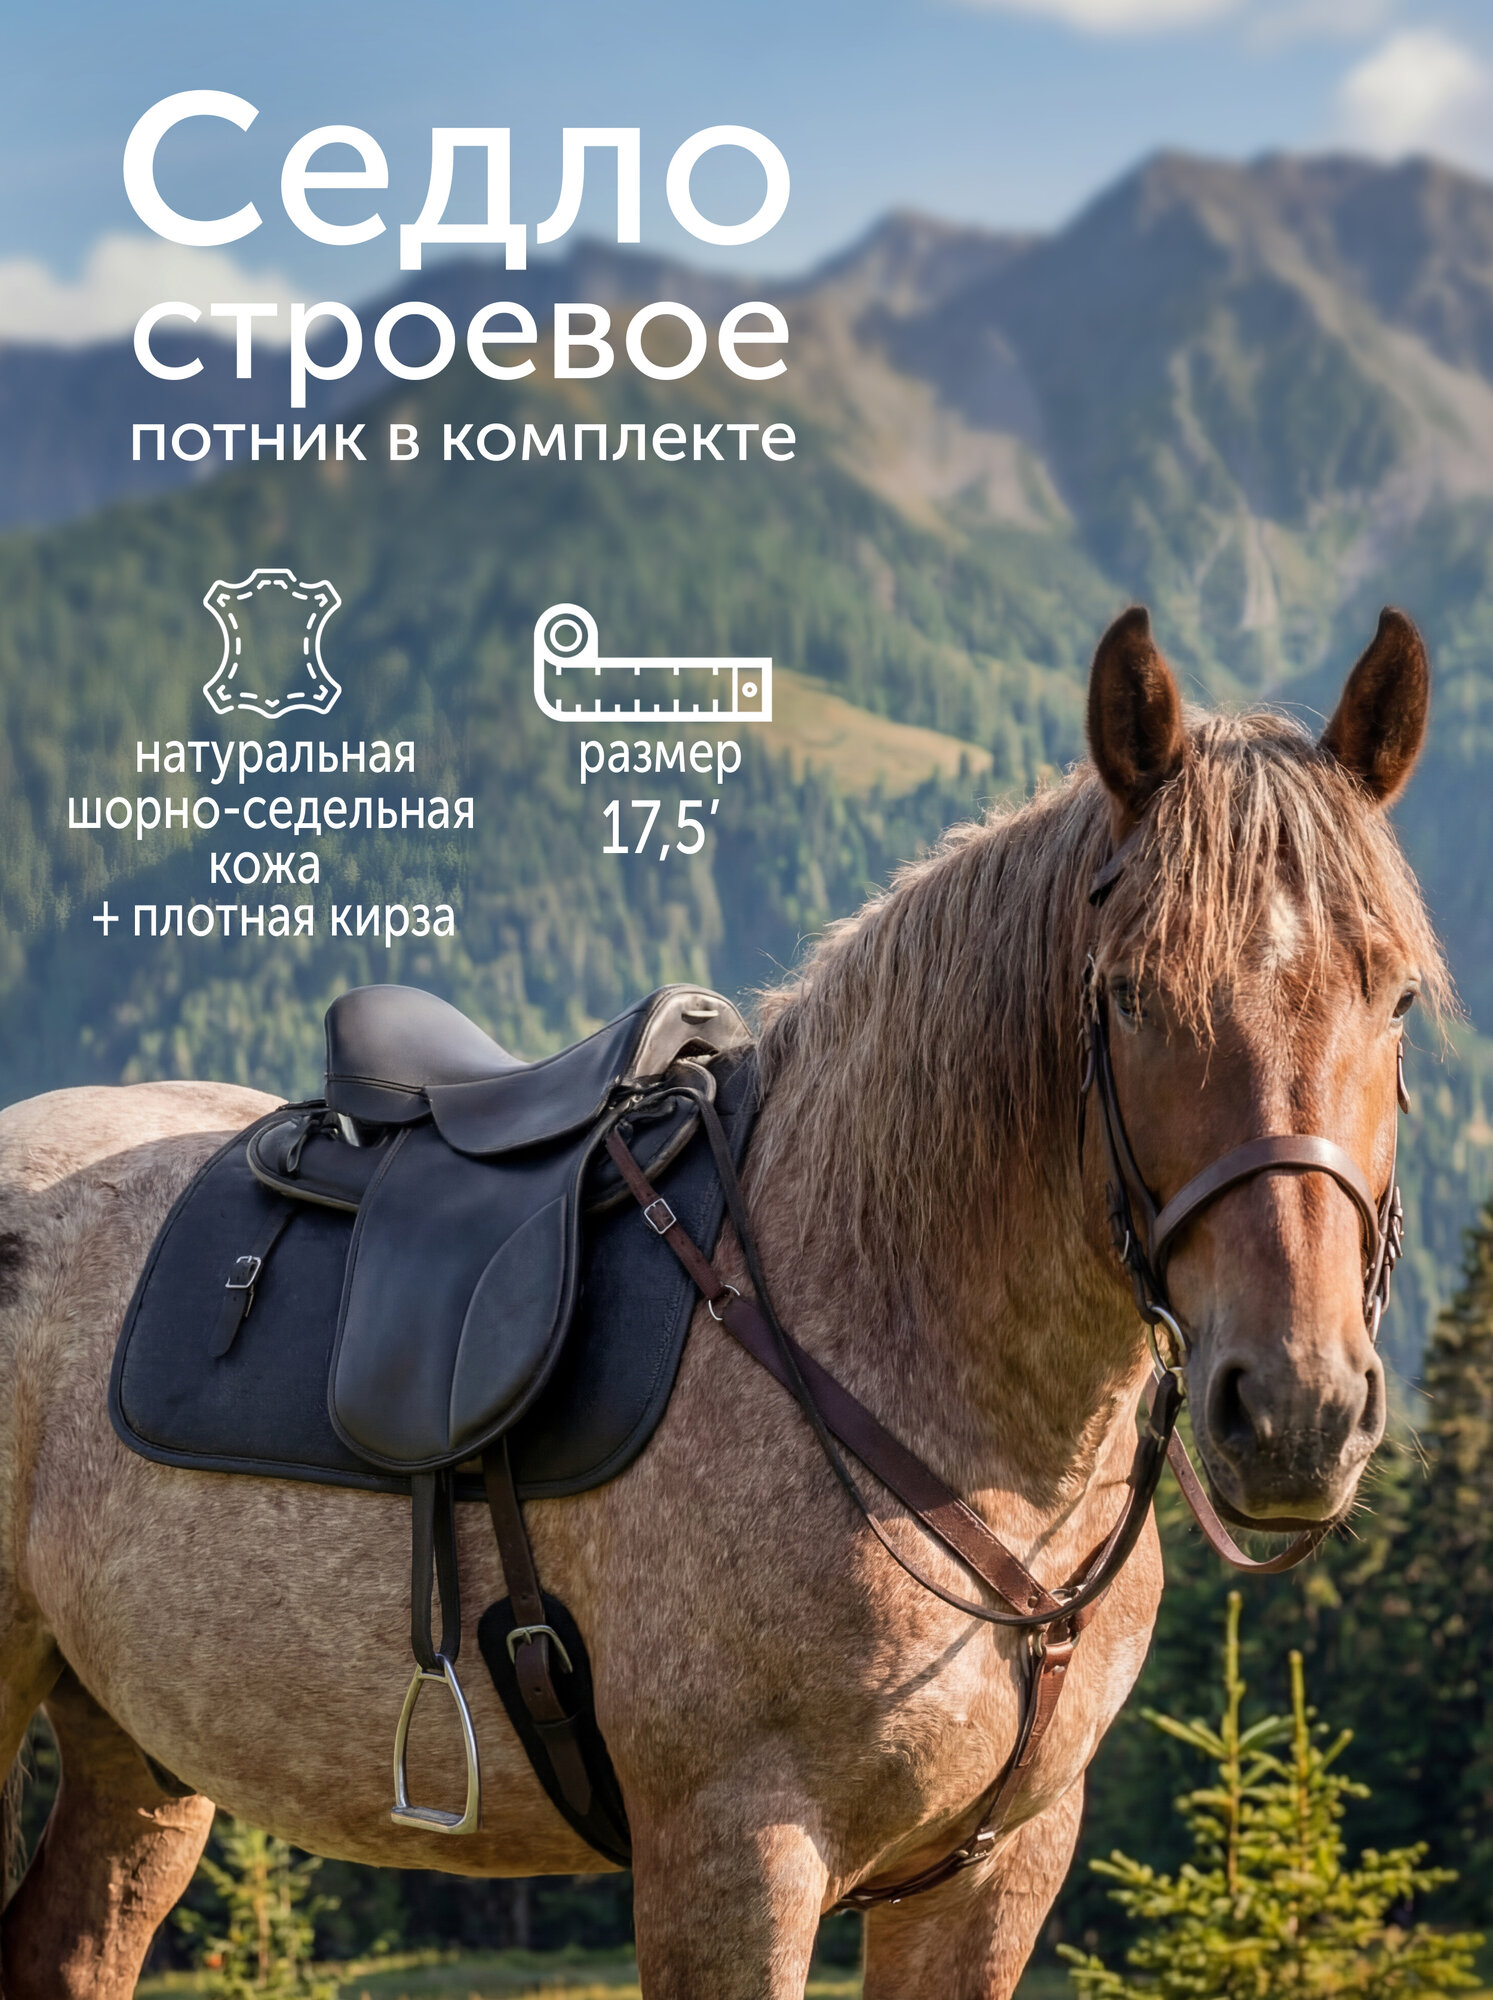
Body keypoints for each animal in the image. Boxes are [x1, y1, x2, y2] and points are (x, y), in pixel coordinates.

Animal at [0, 605, 1444, 1999]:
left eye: (1393, 997)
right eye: (1130, 994)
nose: (1299, 1412)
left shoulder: (992, 1876)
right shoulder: (736, 1856)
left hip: (133, 1747)